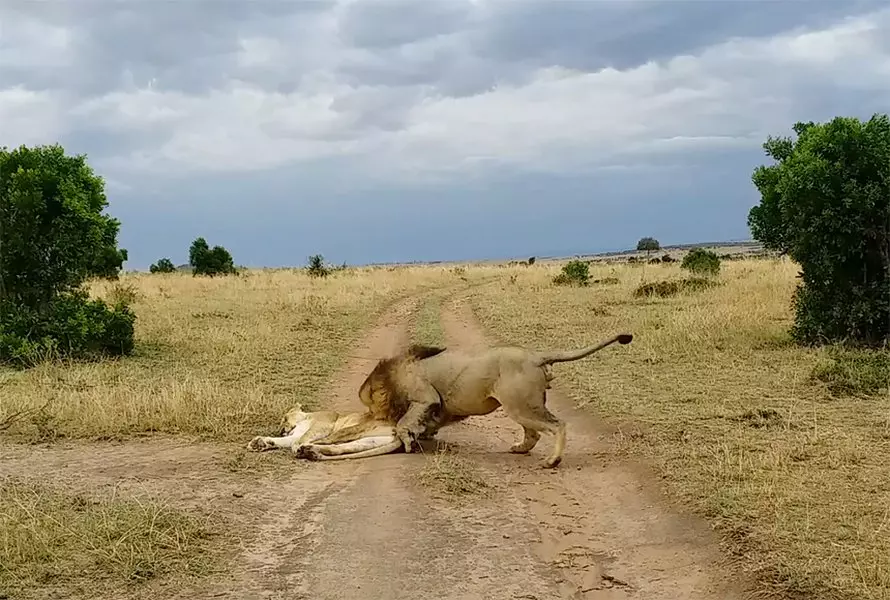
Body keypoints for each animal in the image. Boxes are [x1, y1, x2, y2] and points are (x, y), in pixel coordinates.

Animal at [245, 406, 400, 462]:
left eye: (285, 418)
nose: (281, 431)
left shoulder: (323, 424)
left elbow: (301, 438)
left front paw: (296, 446)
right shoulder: (296, 433)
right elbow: (287, 440)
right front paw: (260, 443)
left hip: (352, 429)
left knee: (329, 440)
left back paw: (305, 450)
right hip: (370, 440)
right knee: (340, 448)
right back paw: (309, 451)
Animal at [342, 332, 632, 468]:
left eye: (371, 406)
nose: (374, 417)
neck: (392, 376)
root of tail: (535, 356)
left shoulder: (425, 397)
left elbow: (406, 420)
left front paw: (408, 439)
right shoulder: (440, 408)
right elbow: (429, 422)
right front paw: (422, 434)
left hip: (520, 404)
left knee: (557, 425)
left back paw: (552, 461)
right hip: (522, 404)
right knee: (533, 434)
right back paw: (519, 449)